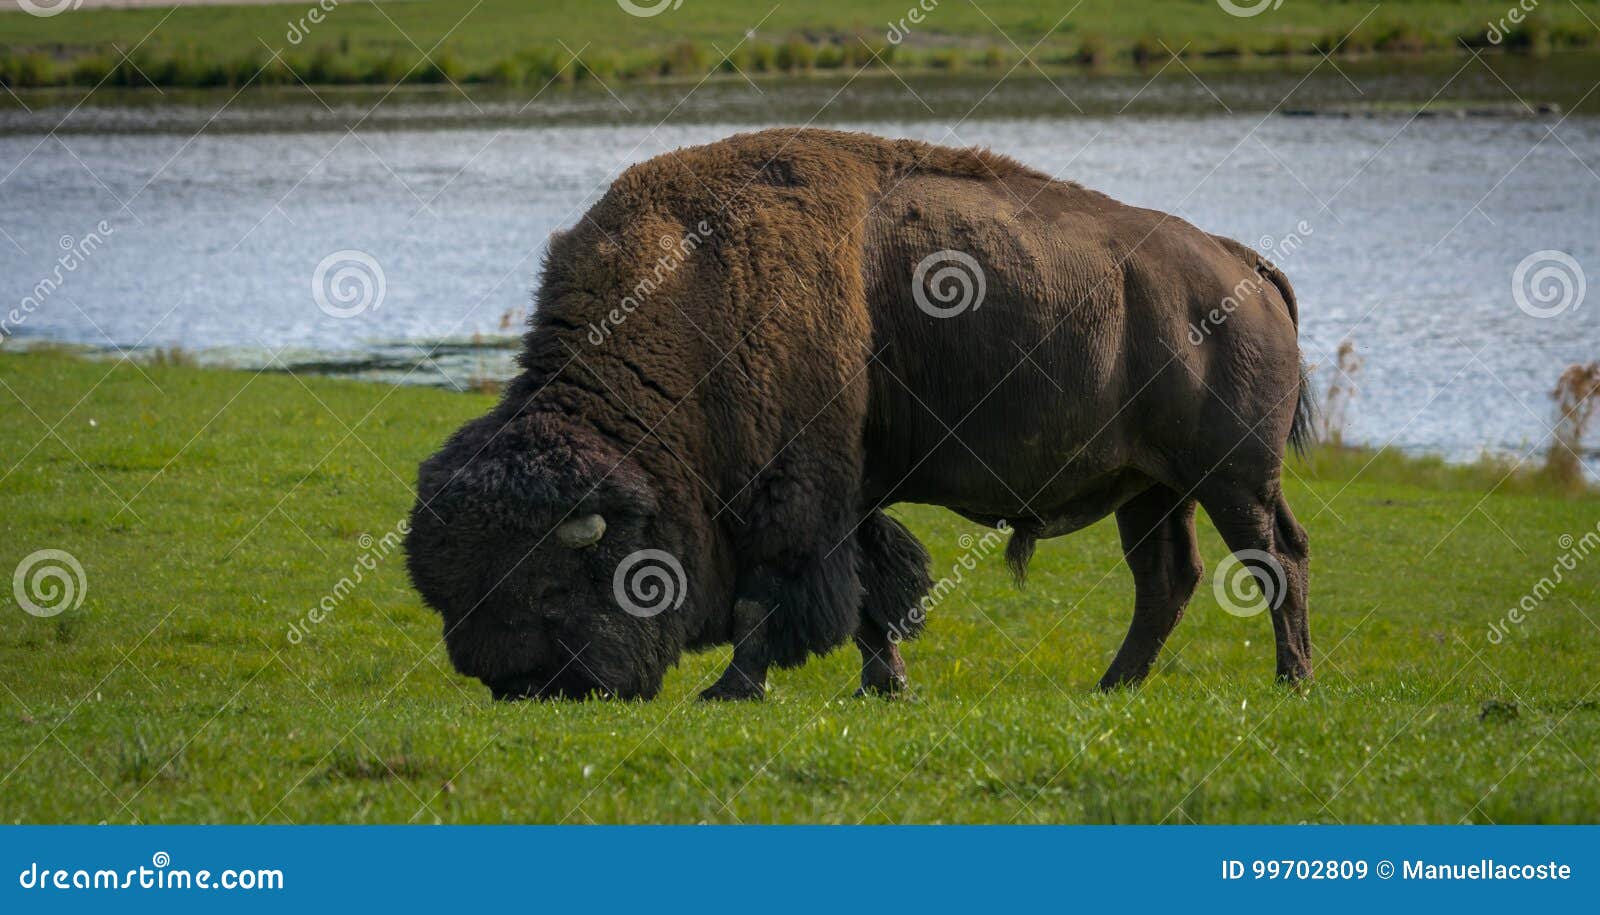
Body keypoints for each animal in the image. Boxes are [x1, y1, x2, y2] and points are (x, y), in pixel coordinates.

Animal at [405, 128, 1313, 701]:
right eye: (447, 592)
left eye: (551, 581)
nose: (521, 686)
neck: (696, 297)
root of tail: (1240, 261)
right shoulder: (853, 495)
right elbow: (874, 594)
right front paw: (885, 686)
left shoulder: (794, 499)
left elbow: (773, 596)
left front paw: (730, 690)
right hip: (1152, 488)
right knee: (1168, 578)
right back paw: (1115, 683)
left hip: (1232, 478)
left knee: (1275, 559)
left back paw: (1292, 680)